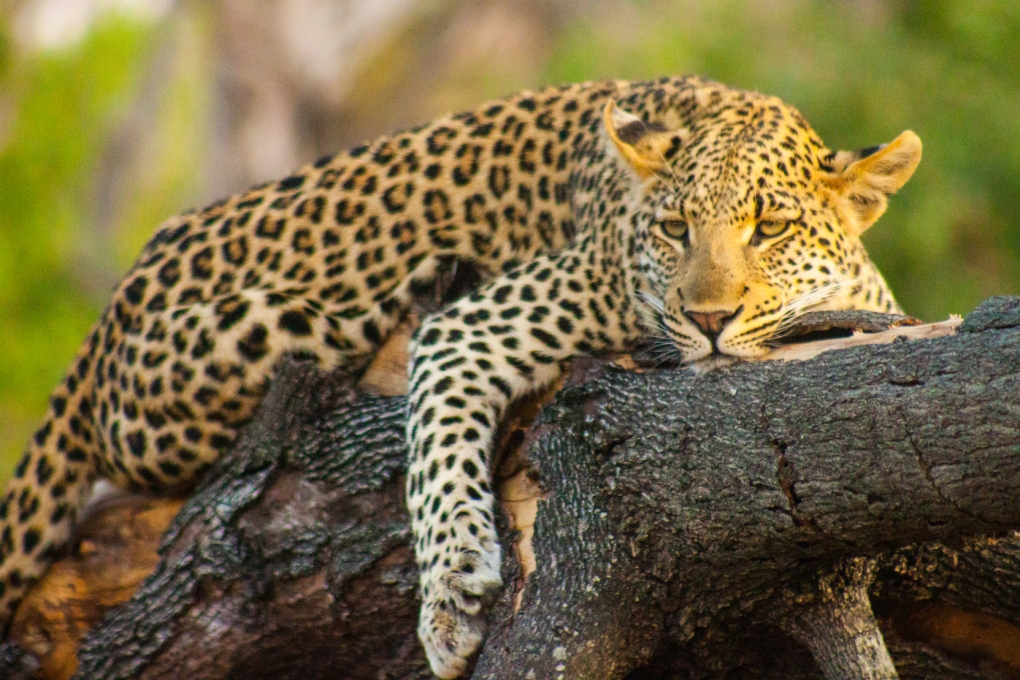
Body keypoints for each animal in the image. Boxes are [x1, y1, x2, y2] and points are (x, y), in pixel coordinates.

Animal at [0, 75, 920, 677]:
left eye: (771, 228)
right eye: (673, 230)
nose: (708, 319)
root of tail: (105, 319)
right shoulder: (469, 326)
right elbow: (433, 451)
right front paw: (450, 598)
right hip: (270, 333)